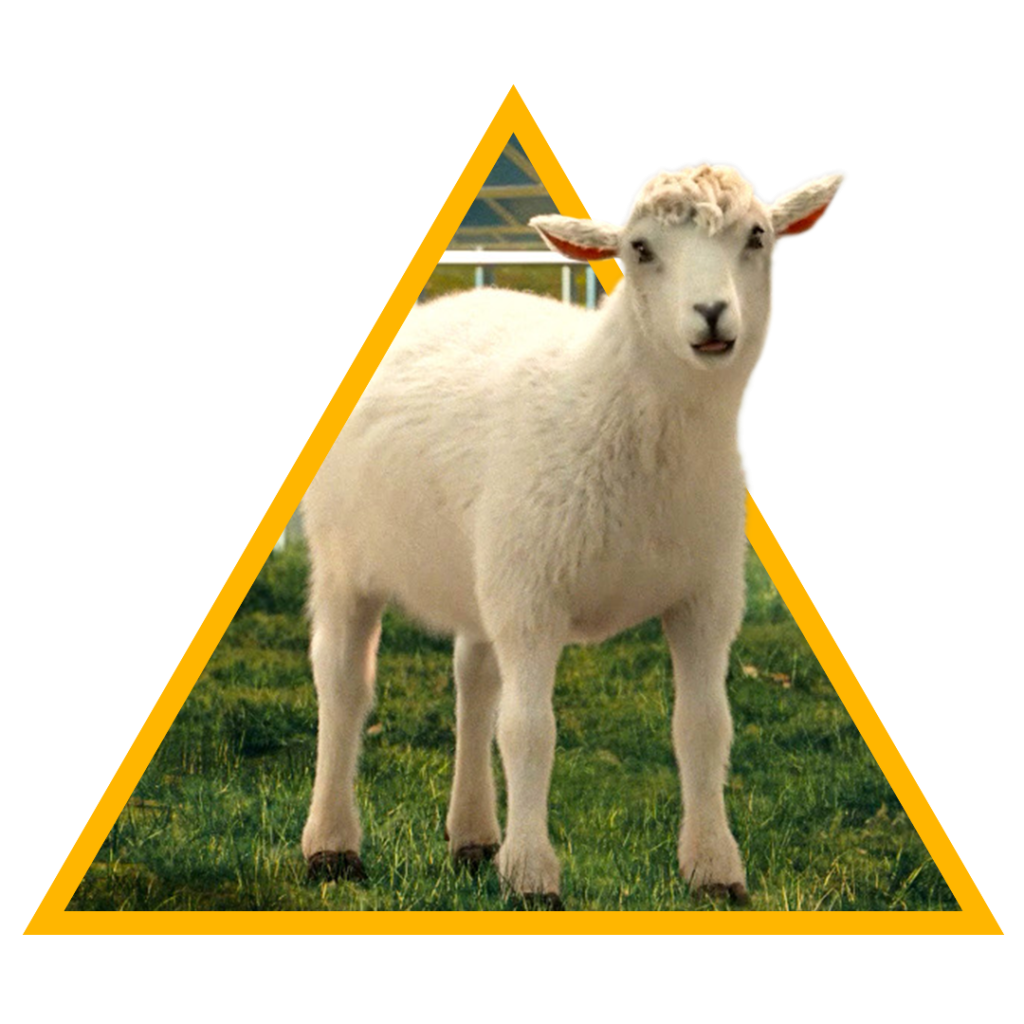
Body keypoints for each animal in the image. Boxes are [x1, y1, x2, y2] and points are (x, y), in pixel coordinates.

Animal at [301, 160, 849, 908]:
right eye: (639, 249)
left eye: (757, 236)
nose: (711, 313)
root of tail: (441, 305)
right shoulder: (533, 600)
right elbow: (530, 731)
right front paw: (533, 878)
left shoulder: (706, 597)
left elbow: (704, 727)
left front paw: (715, 869)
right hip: (345, 554)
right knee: (343, 685)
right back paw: (332, 847)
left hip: (490, 565)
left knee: (475, 682)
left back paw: (473, 837)